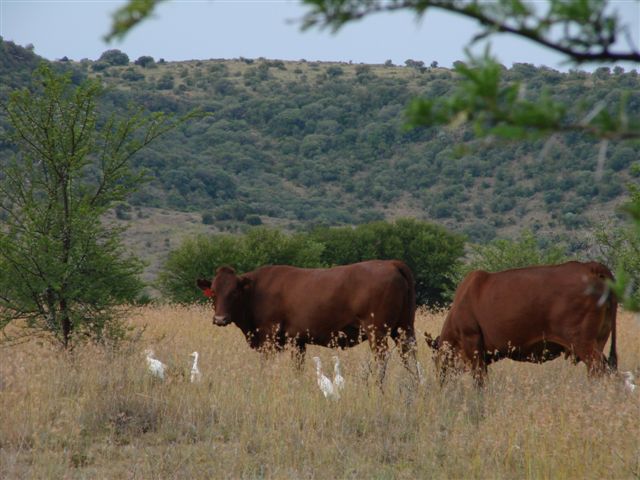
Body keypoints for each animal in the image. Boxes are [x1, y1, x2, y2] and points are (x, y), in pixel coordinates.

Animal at [197, 260, 417, 383]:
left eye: (234, 292)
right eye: (213, 292)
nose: (220, 319)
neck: (256, 291)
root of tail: (390, 263)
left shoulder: (269, 338)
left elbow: (267, 366)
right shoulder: (298, 341)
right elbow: (298, 369)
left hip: (377, 331)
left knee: (382, 359)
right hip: (404, 328)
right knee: (410, 356)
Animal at [425, 261, 617, 387]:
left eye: (435, 358)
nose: (440, 381)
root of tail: (589, 266)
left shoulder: (473, 344)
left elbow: (480, 381)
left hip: (583, 344)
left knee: (598, 370)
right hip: (599, 340)